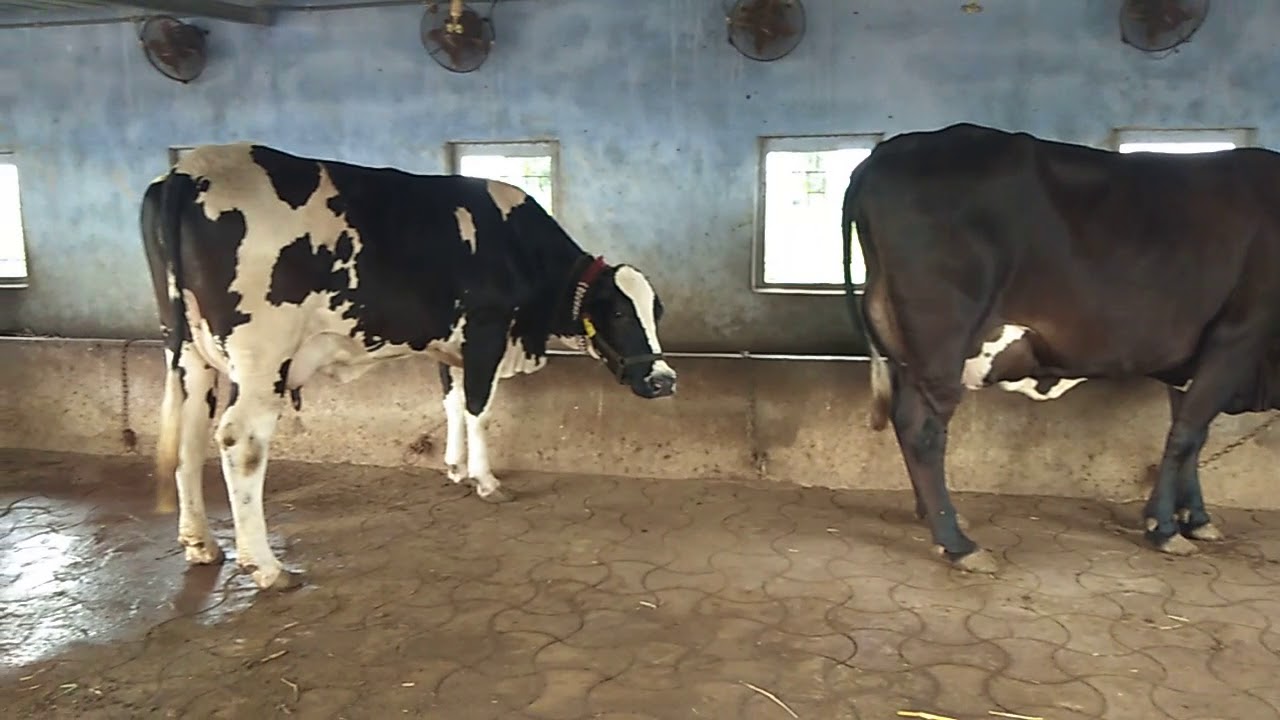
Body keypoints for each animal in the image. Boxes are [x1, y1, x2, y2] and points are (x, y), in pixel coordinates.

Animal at [140, 143, 678, 590]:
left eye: (657, 311)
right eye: (618, 312)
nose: (664, 380)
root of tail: (189, 170)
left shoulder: (450, 346)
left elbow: (453, 402)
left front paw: (456, 468)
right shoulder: (486, 331)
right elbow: (480, 408)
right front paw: (486, 482)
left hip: (187, 353)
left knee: (190, 436)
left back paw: (201, 543)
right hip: (262, 358)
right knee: (240, 442)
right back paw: (267, 568)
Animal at [841, 122, 1280, 574]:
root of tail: (886, 155)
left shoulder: (1190, 361)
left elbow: (1192, 433)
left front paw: (1194, 518)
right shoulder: (1239, 333)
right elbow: (1187, 434)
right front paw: (1164, 528)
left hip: (907, 347)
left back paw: (936, 516)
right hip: (942, 339)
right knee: (922, 430)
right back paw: (958, 543)